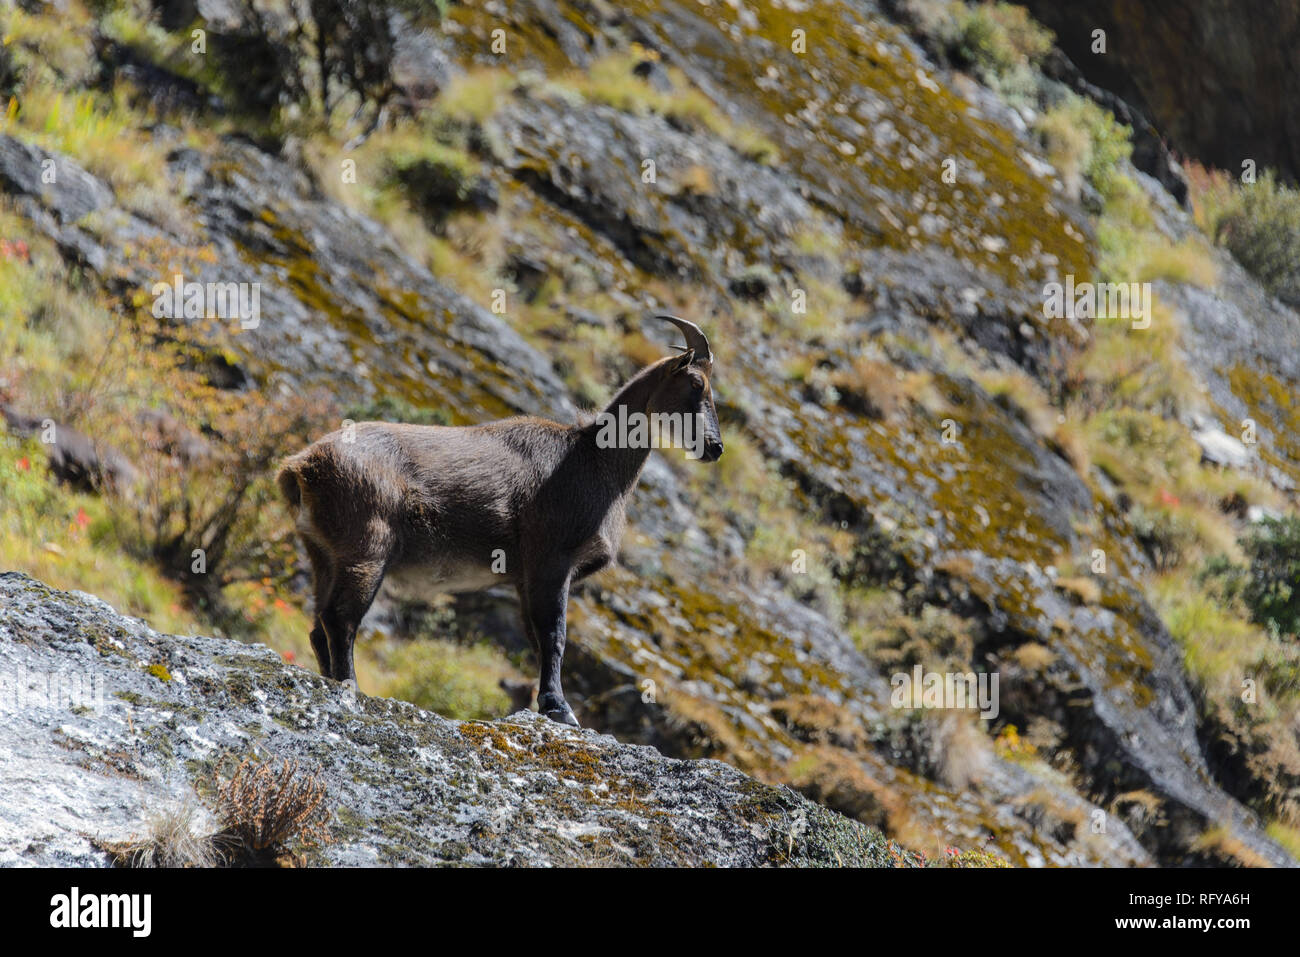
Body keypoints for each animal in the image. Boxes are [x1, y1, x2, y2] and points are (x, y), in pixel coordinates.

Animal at [276, 315, 723, 727]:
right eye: (696, 383)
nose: (715, 448)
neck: (591, 459)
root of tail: (300, 466)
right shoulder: (551, 560)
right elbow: (555, 636)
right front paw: (560, 709)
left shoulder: (524, 578)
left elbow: (537, 640)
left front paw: (548, 703)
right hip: (366, 548)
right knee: (341, 619)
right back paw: (349, 685)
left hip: (323, 554)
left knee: (318, 625)